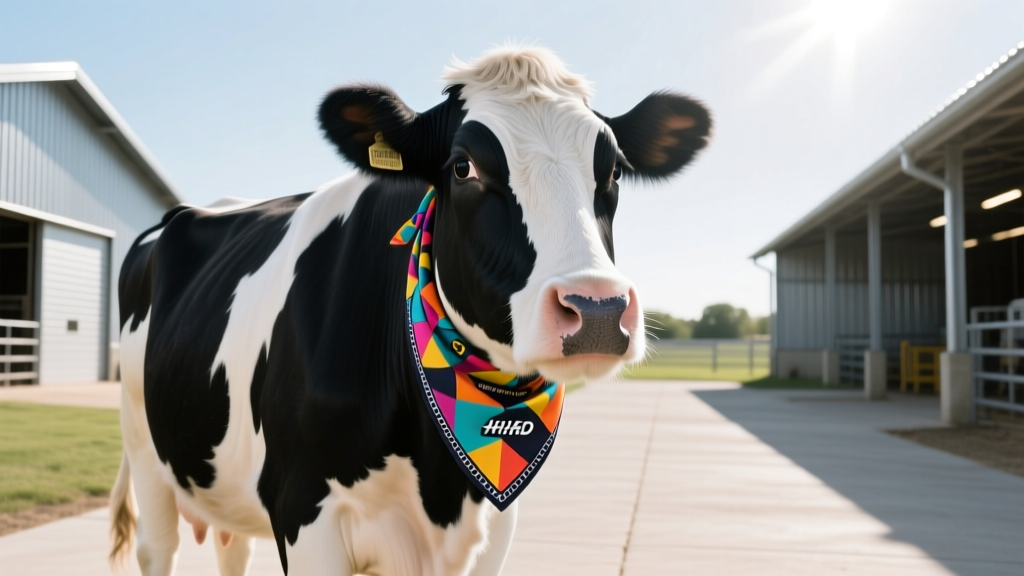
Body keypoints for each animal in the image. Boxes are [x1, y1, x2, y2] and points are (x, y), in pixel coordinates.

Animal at [110, 46, 710, 576]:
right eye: (463, 167)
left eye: (613, 172)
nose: (598, 308)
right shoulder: (303, 509)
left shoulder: (493, 524)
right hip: (145, 451)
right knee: (157, 550)